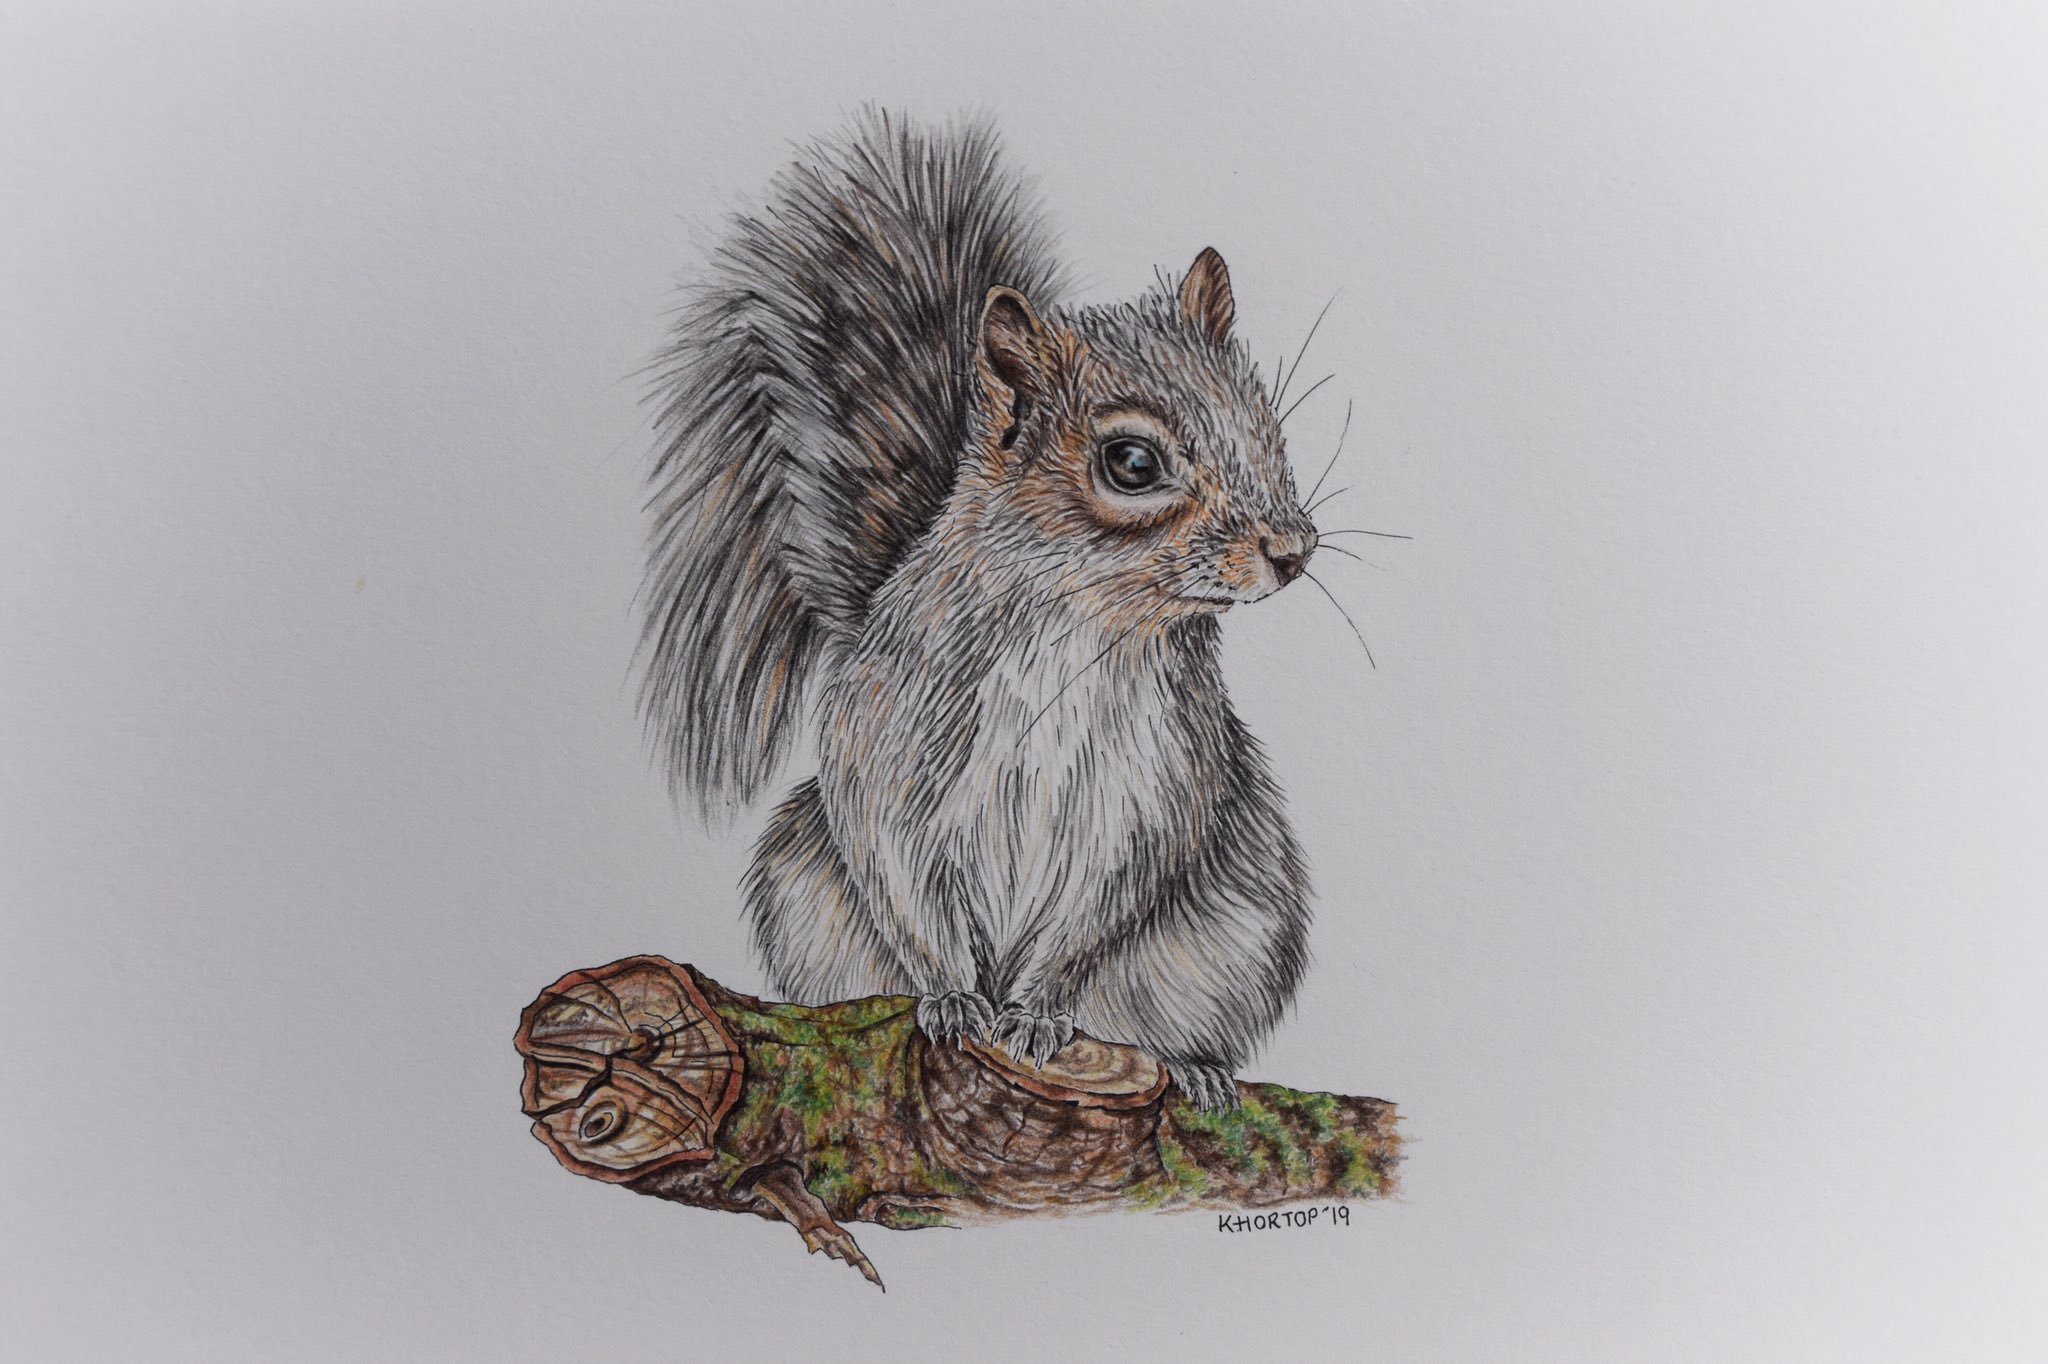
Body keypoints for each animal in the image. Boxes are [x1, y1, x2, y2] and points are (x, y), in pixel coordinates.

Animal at [639, 110, 1319, 1112]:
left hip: (1245, 927)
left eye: (1269, 426)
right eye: (1132, 463)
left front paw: (1033, 1010)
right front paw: (956, 997)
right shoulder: (883, 749)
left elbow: (1106, 903)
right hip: (804, 894)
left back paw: (1196, 1068)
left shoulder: (1159, 787)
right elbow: (898, 874)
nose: (1293, 550)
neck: (1077, 627)